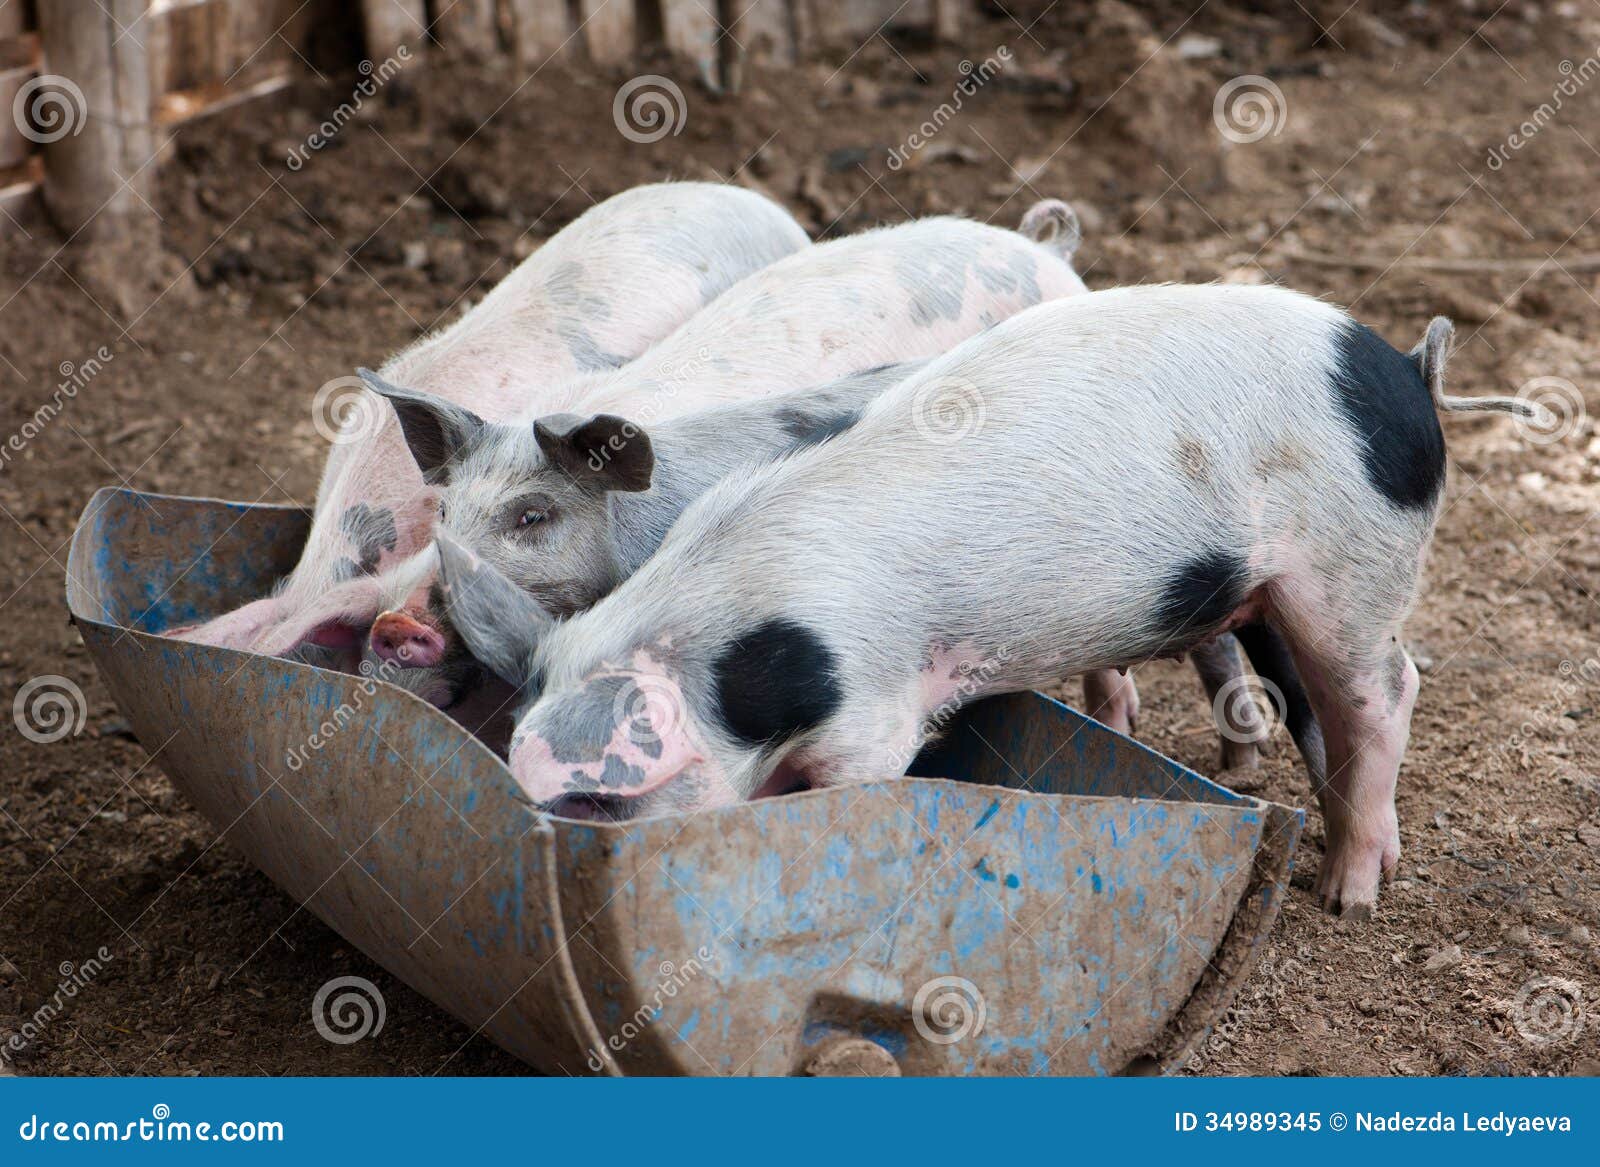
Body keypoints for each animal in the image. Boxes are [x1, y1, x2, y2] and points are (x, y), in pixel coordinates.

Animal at [436, 283, 1548, 920]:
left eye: (599, 799)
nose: (526, 850)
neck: (747, 662)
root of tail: (1407, 370)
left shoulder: (874, 713)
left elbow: (841, 788)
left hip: (1354, 563)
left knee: (1388, 689)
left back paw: (1347, 899)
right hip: (1275, 587)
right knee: (1325, 706)